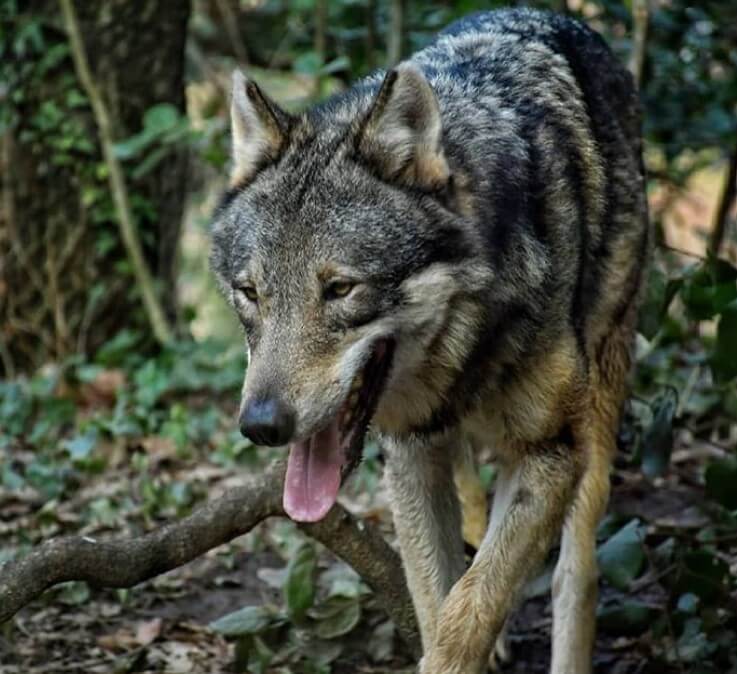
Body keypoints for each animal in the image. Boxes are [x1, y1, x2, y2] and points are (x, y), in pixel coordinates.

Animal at [210, 7, 648, 673]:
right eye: (250, 293)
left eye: (340, 289)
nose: (261, 425)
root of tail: (549, 14)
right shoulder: (412, 455)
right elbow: (439, 599)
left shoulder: (552, 452)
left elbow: (466, 614)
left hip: (597, 407)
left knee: (576, 568)